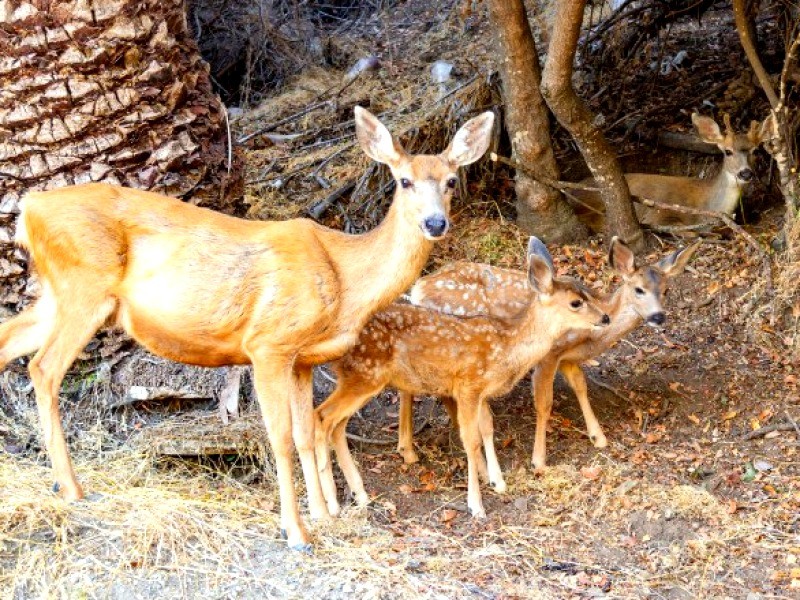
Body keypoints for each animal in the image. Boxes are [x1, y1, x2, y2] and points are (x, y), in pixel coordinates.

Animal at [0, 106, 495, 551]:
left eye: (451, 181)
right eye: (403, 180)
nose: (435, 222)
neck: (344, 277)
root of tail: (30, 208)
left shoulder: (302, 358)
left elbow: (305, 432)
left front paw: (321, 515)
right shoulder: (268, 343)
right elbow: (280, 438)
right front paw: (296, 533)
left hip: (57, 294)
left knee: (9, 342)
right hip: (84, 285)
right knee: (44, 368)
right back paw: (71, 488)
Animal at [314, 237, 611, 519]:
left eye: (589, 292)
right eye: (576, 302)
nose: (605, 318)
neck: (506, 347)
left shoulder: (481, 392)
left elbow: (487, 427)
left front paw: (497, 481)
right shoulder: (468, 385)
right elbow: (470, 438)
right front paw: (476, 504)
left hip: (360, 379)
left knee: (335, 425)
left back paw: (360, 495)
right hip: (365, 375)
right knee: (322, 417)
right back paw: (332, 504)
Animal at [408, 237, 698, 469]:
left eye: (666, 290)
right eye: (639, 289)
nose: (658, 317)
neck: (590, 337)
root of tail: (418, 289)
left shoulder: (566, 357)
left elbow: (580, 385)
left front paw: (598, 437)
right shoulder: (549, 354)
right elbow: (544, 403)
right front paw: (538, 460)